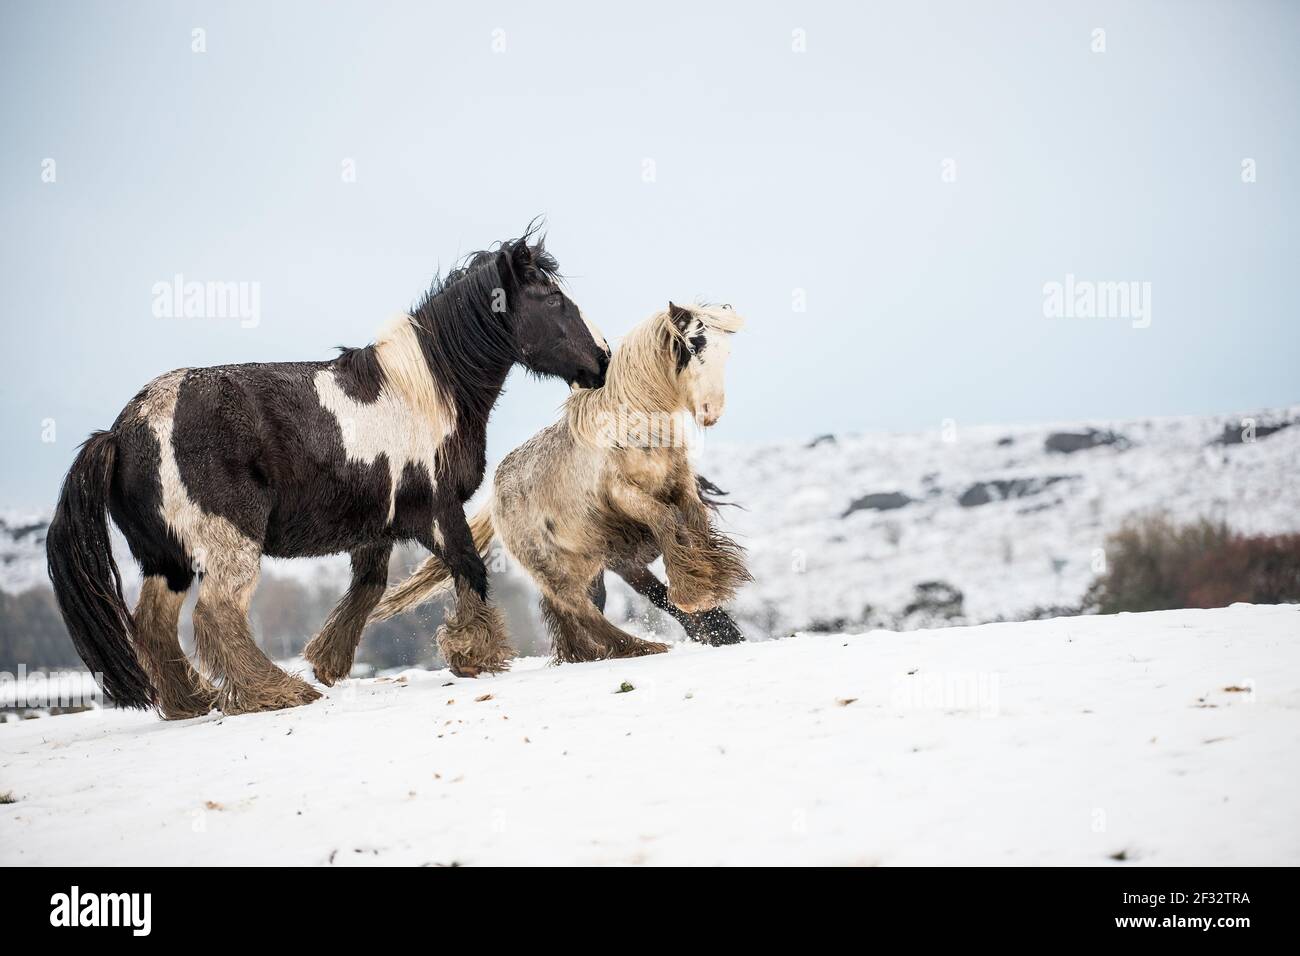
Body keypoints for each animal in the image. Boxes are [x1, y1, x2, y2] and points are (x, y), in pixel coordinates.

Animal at [46, 229, 610, 717]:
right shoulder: (437, 509)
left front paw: (328, 660)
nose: (601, 360)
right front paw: (476, 654)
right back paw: (275, 692)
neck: (426, 392)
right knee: (217, 616)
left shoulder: (377, 525)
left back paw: (191, 700)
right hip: (228, 545)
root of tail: (120, 432)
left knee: (153, 627)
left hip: (167, 559)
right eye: (551, 298)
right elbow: (469, 570)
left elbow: (368, 588)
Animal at [370, 301, 750, 672]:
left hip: (586, 566)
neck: (633, 427)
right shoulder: (625, 495)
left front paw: (716, 587)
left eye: (727, 351)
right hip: (556, 569)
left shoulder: (680, 485)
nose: (710, 412)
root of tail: (495, 495)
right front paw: (695, 593)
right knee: (577, 607)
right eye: (694, 346)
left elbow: (695, 520)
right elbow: (666, 521)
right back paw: (636, 647)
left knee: (573, 609)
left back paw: (586, 653)